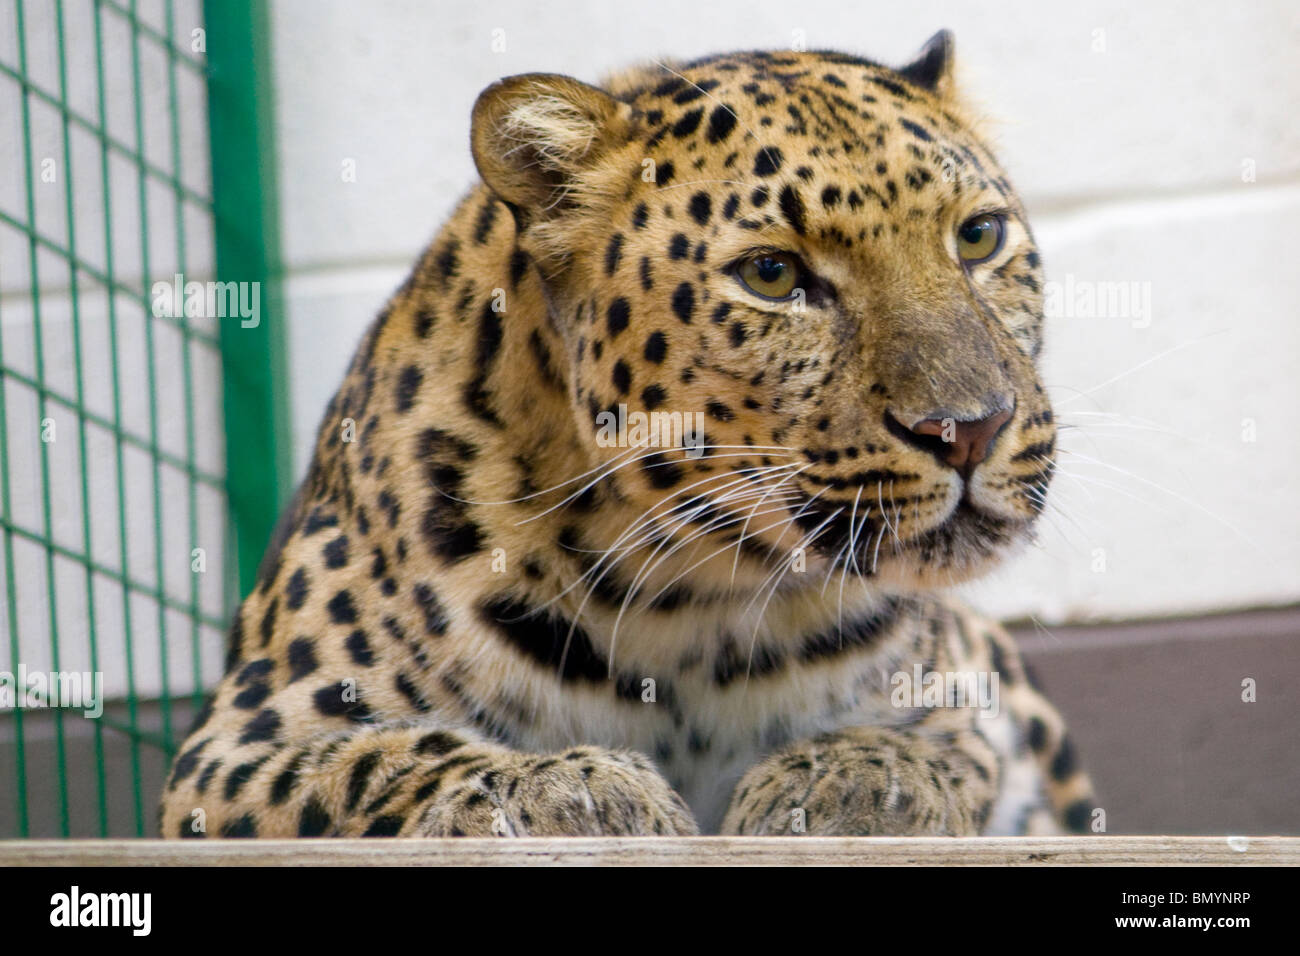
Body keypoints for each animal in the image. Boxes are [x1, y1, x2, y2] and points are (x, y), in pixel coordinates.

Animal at [161, 31, 1096, 839]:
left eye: (979, 236)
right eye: (773, 275)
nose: (969, 429)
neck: (691, 602)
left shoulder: (962, 699)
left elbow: (944, 749)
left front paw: (859, 778)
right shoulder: (236, 747)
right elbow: (380, 764)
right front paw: (566, 788)